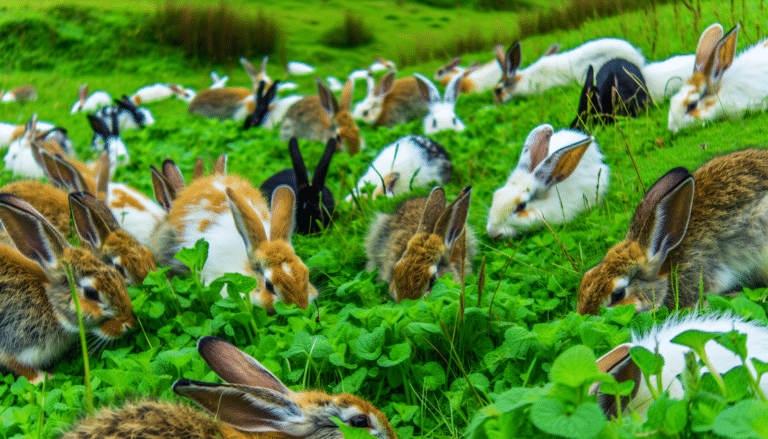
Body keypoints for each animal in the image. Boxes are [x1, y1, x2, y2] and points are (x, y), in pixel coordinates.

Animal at [0, 194, 135, 384]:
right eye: (91, 293)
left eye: (116, 274)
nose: (130, 323)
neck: (51, 305)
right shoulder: (12, 341)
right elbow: (21, 367)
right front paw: (45, 380)